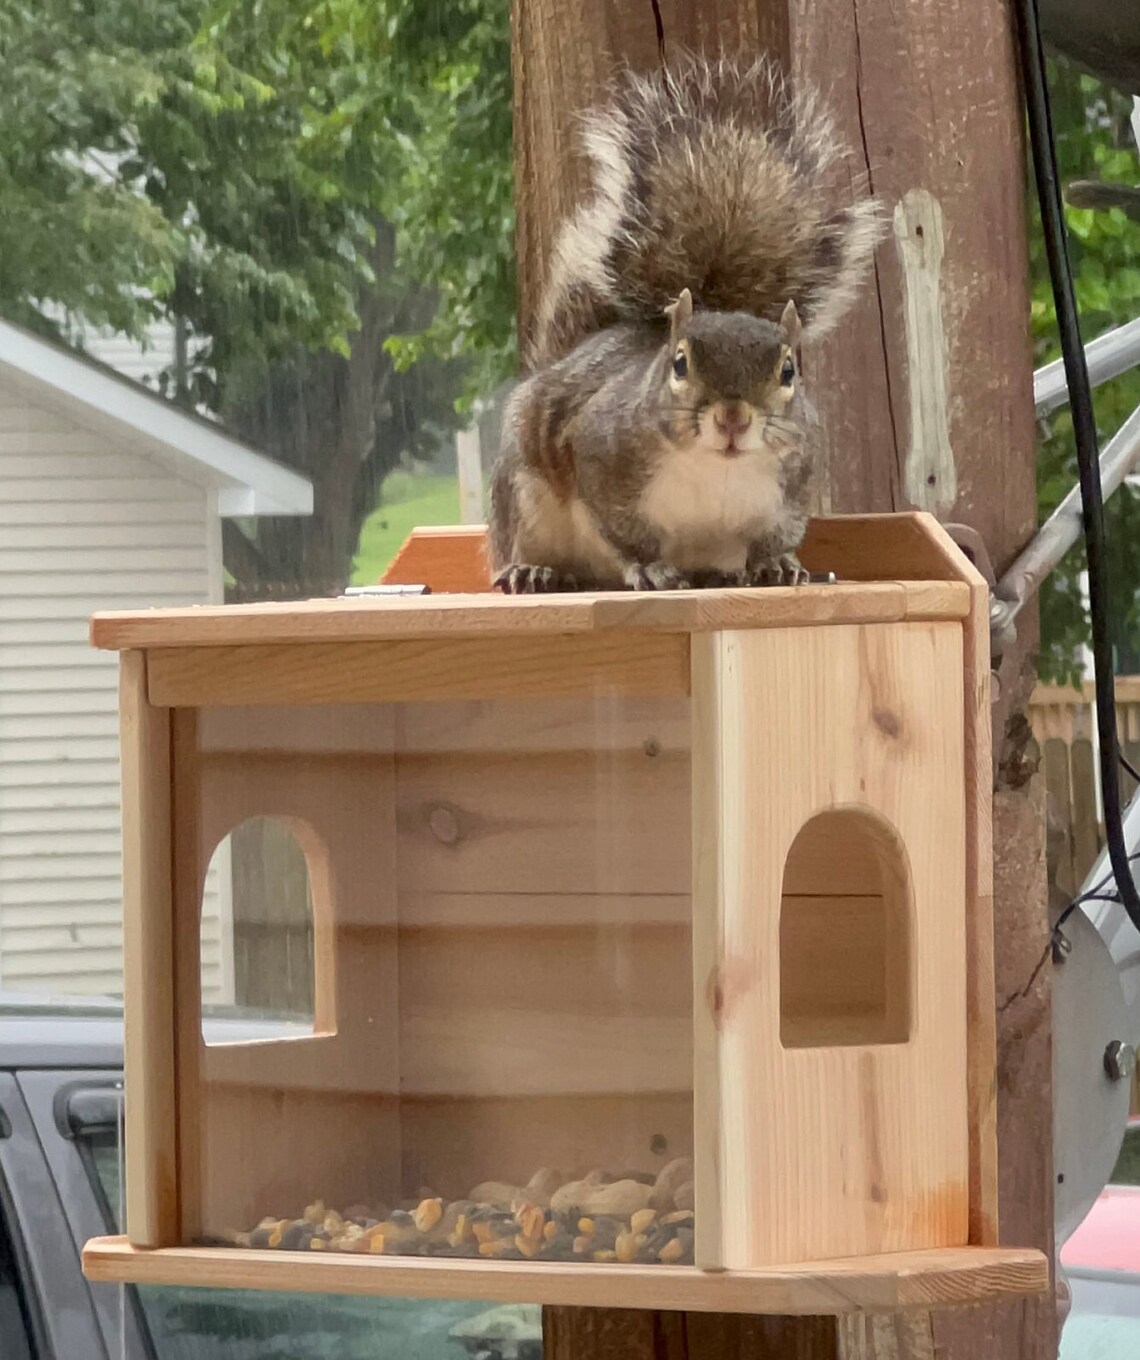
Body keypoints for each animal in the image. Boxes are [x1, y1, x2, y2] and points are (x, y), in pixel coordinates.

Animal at [488, 52, 884, 593]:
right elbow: (623, 531)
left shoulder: (797, 480)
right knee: (519, 541)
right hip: (522, 492)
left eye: (789, 371)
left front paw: (777, 563)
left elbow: (777, 535)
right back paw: (532, 568)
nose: (733, 418)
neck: (716, 467)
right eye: (679, 364)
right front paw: (649, 567)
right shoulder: (597, 450)